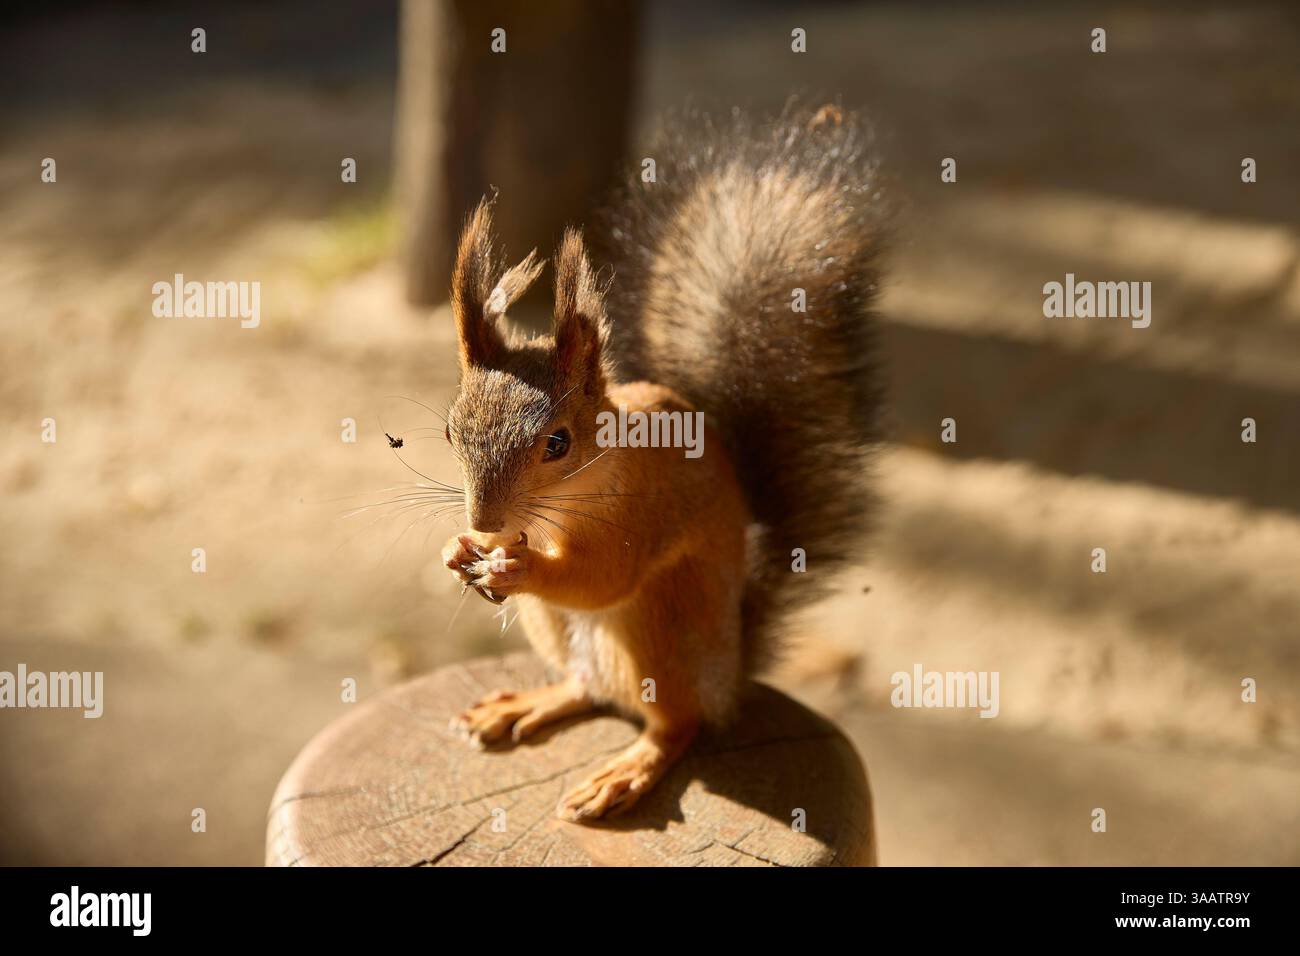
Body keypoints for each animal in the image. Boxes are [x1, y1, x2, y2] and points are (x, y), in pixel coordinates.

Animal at [440, 103, 886, 821]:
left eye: (558, 443)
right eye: (450, 431)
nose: (483, 522)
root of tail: (729, 674)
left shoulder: (641, 514)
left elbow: (604, 577)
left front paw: (517, 564)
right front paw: (460, 551)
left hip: (662, 626)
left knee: (676, 722)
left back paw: (628, 771)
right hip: (557, 630)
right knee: (588, 686)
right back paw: (526, 703)